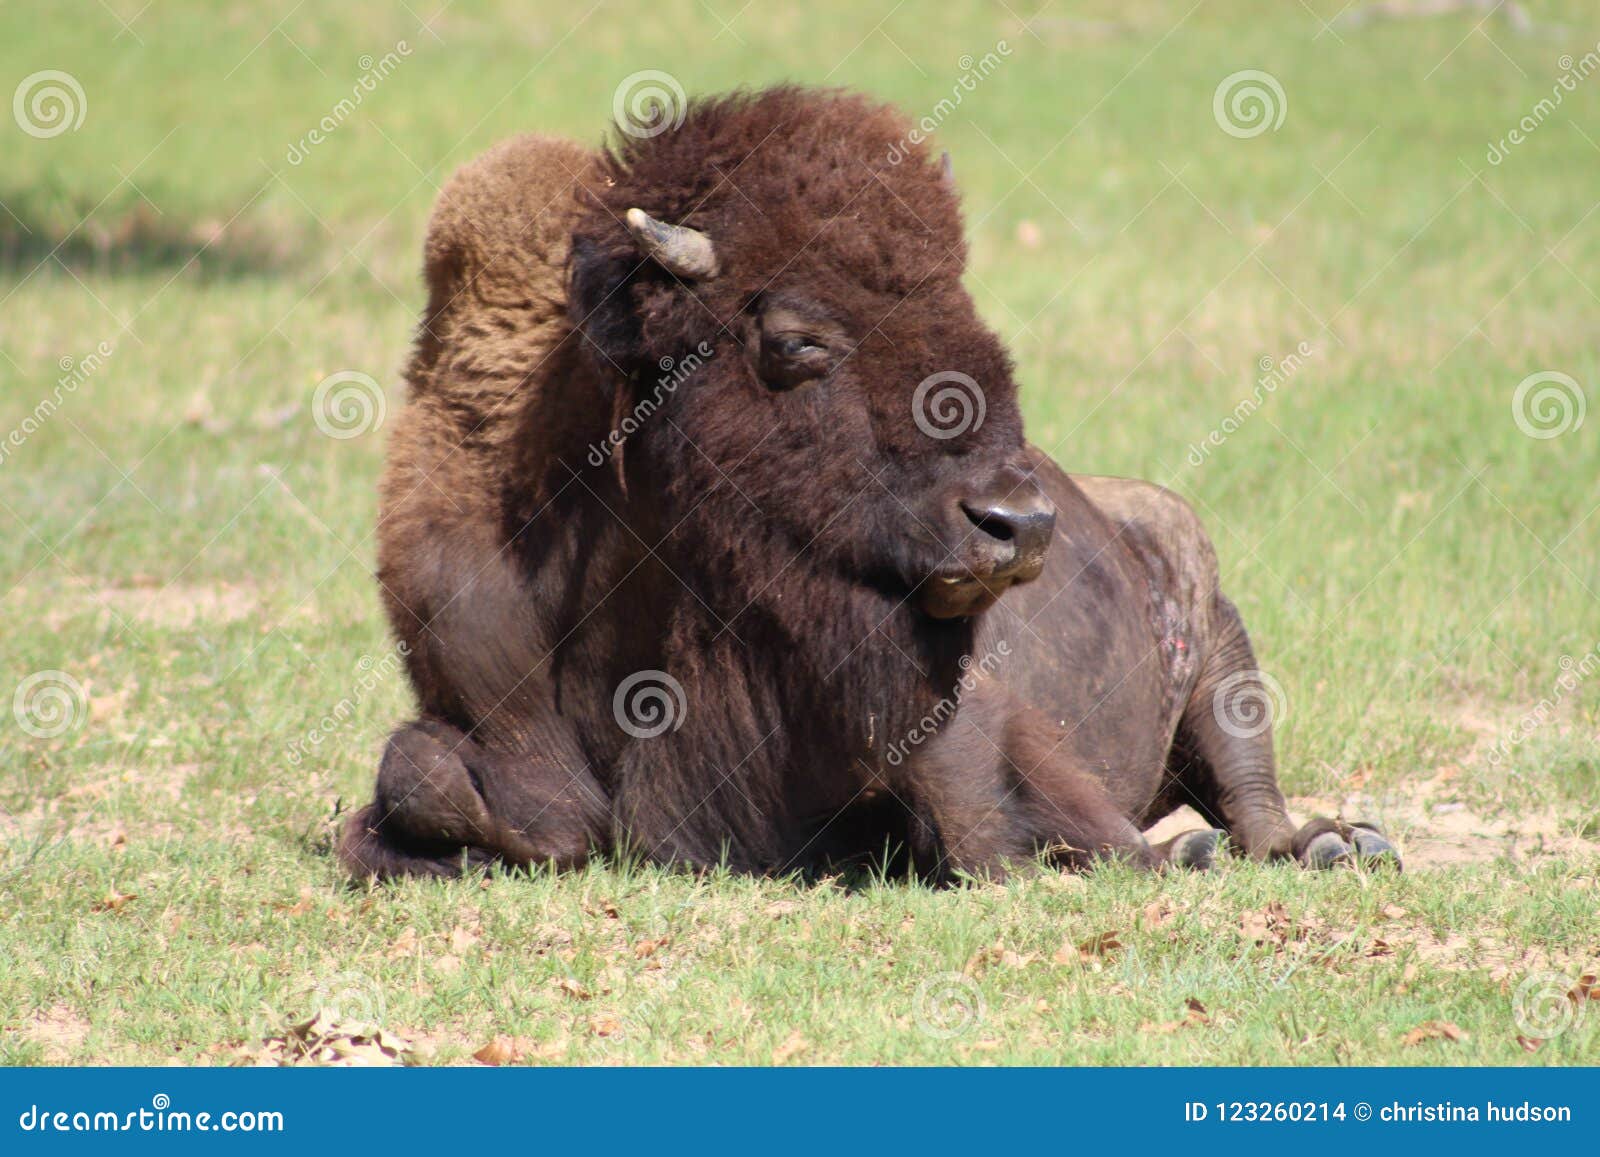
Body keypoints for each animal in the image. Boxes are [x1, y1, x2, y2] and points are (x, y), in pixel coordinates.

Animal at [339, 87, 1398, 882]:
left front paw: (1162, 853)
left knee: (1251, 791)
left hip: (1222, 647)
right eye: (797, 338)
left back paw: (1331, 843)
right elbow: (426, 781)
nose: (1020, 524)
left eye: (963, 305)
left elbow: (990, 817)